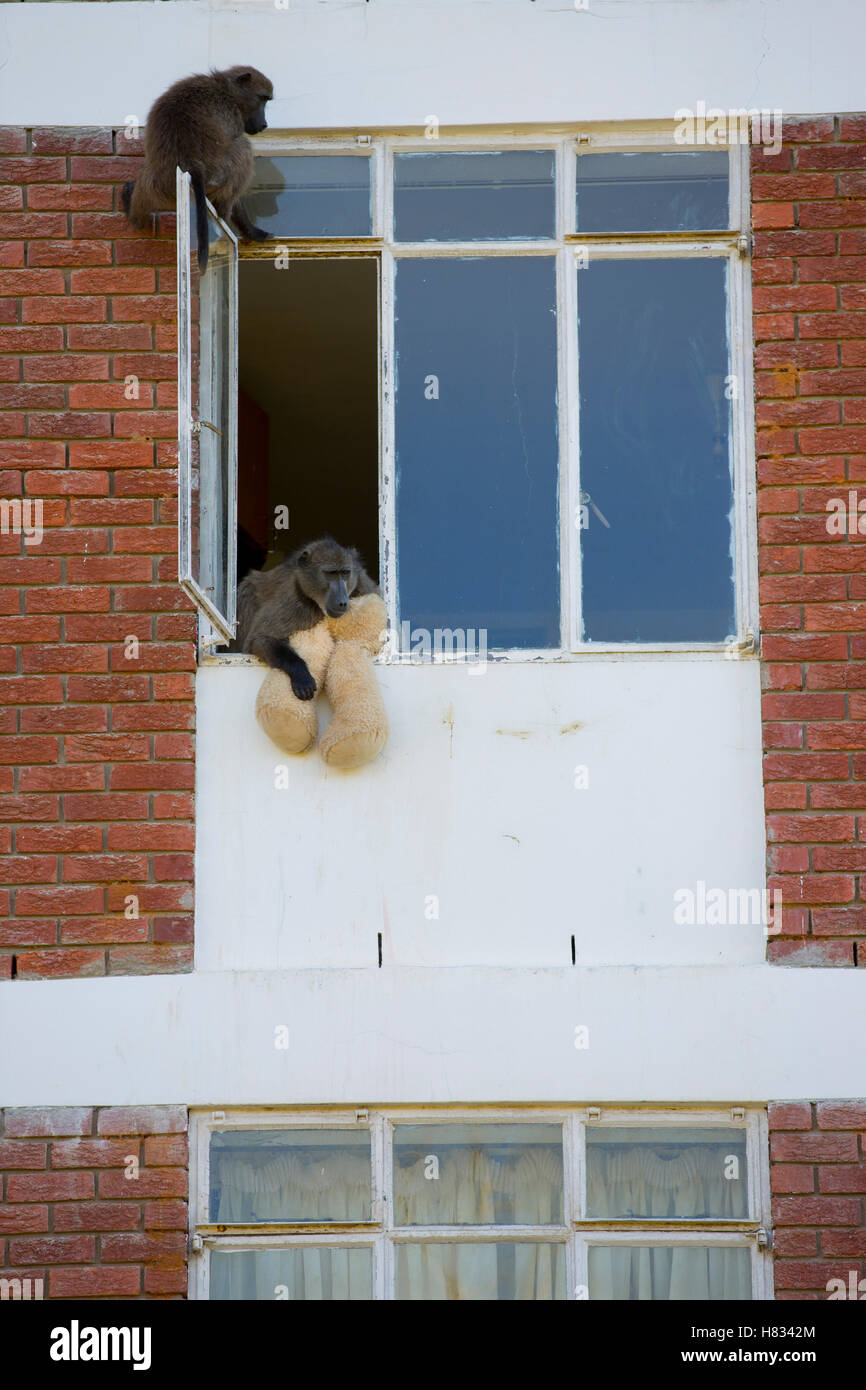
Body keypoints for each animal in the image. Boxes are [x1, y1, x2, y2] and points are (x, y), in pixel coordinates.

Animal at [121, 66, 274, 273]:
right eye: (262, 98)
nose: (264, 124)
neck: (226, 89)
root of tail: (190, 162)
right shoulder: (233, 117)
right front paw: (252, 231)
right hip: (216, 176)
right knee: (243, 147)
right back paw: (223, 210)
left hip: (164, 185)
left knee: (146, 177)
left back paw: (134, 215)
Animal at [234, 537, 379, 700]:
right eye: (331, 574)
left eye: (345, 573)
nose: (342, 602)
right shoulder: (291, 600)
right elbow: (259, 638)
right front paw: (301, 674)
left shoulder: (363, 585)